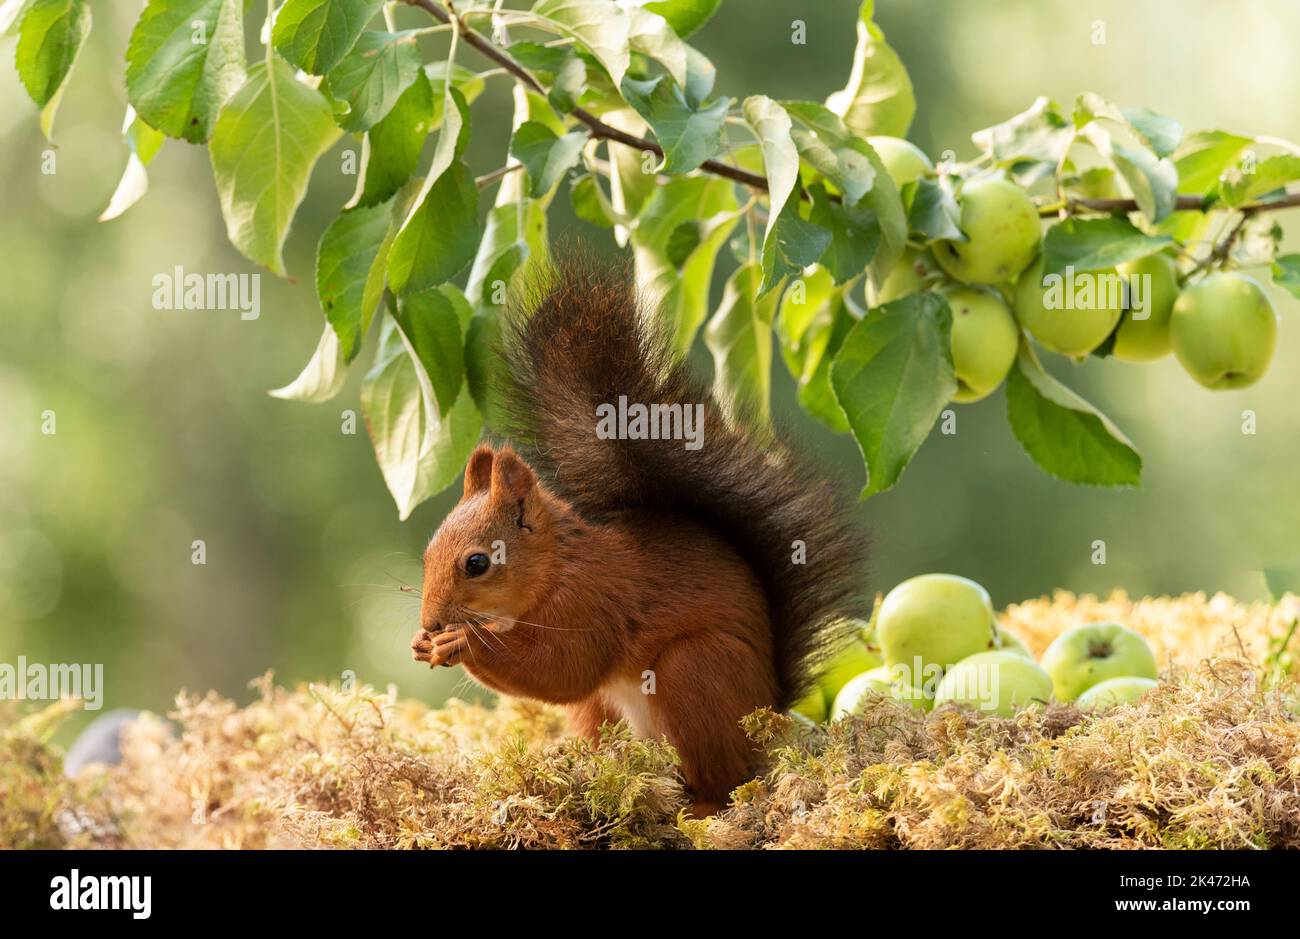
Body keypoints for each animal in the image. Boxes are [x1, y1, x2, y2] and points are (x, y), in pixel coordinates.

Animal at [411, 257, 868, 815]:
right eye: (429, 552)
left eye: (477, 563)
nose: (431, 621)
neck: (555, 566)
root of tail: (770, 714)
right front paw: (425, 643)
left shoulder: (593, 601)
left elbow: (565, 668)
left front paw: (461, 643)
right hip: (604, 711)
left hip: (696, 671)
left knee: (726, 779)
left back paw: (703, 806)